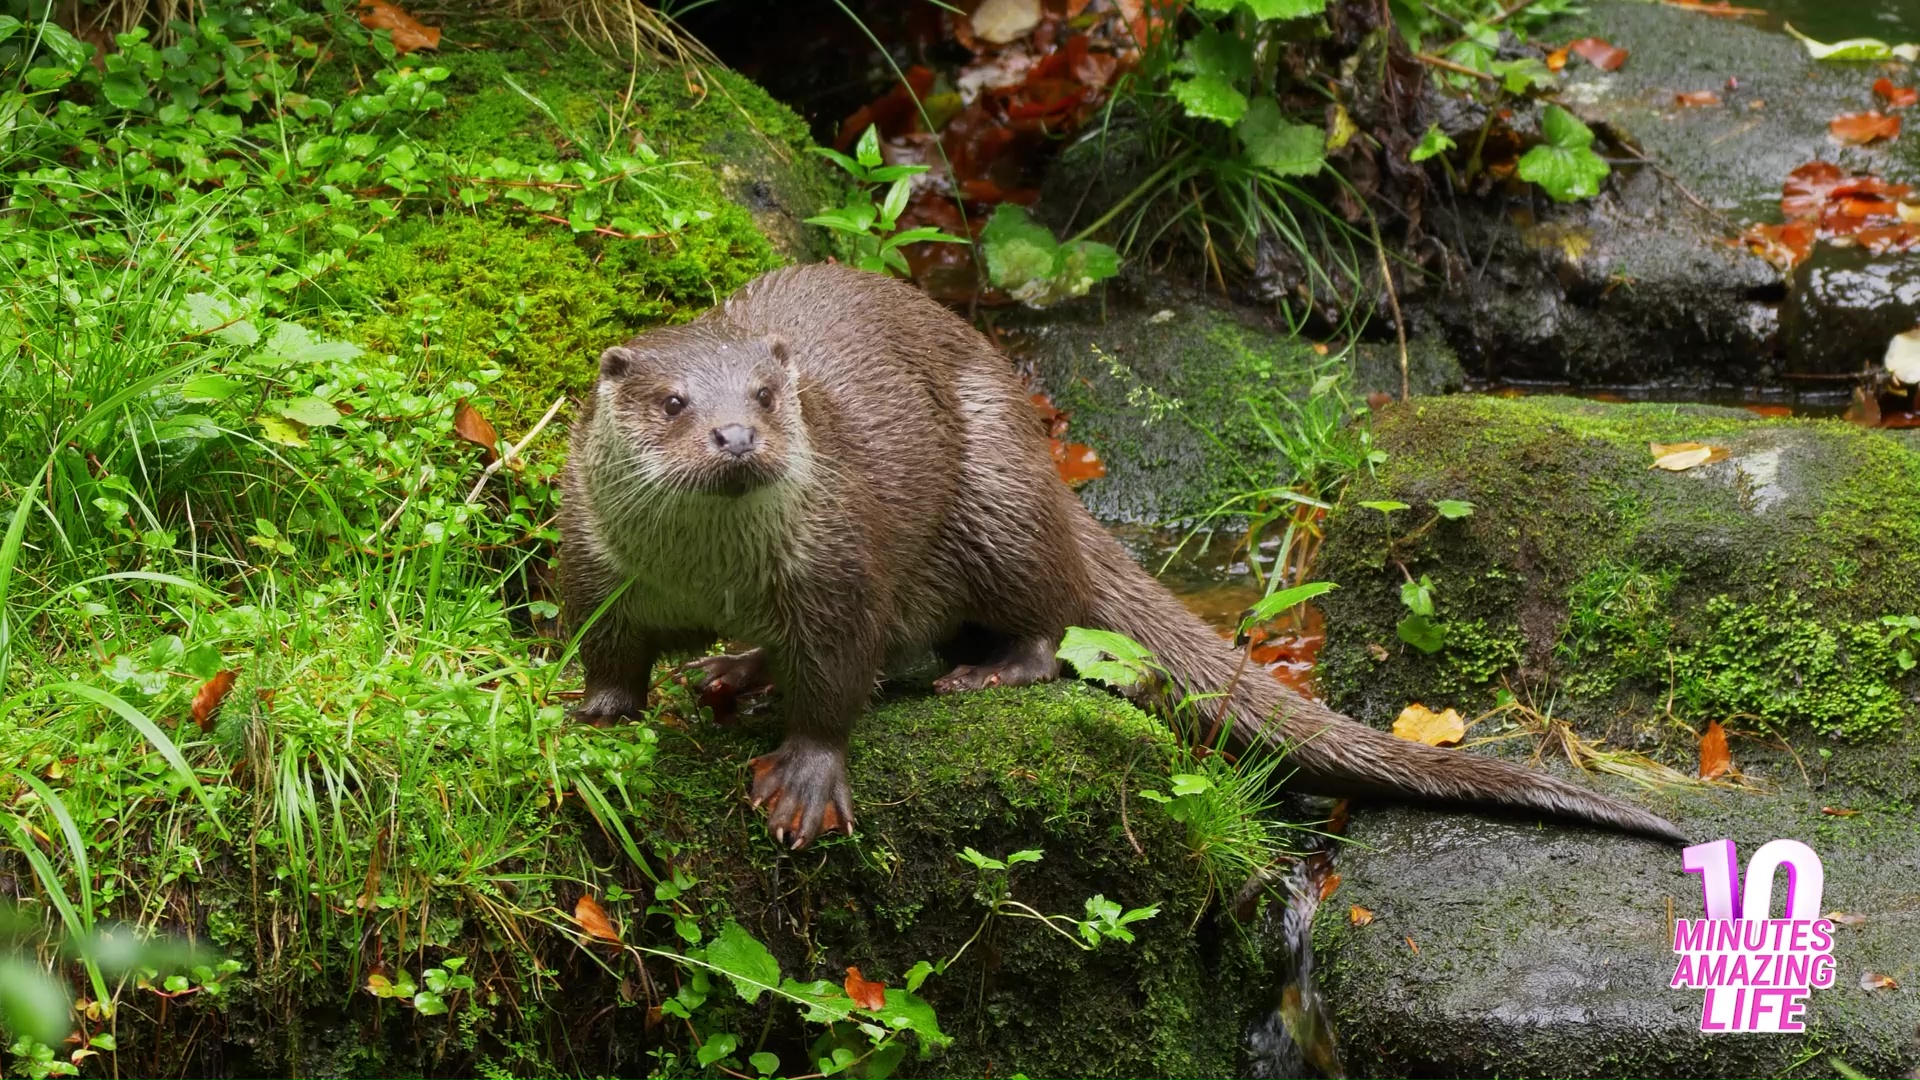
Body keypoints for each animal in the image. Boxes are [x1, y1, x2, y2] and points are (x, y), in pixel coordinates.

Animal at [561, 263, 1685, 849]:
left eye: (765, 395)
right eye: (673, 401)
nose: (735, 438)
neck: (710, 574)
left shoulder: (841, 569)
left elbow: (841, 679)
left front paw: (800, 777)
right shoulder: (592, 556)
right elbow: (602, 648)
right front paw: (594, 713)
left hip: (1001, 499)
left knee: (1046, 615)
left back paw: (986, 671)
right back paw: (733, 670)